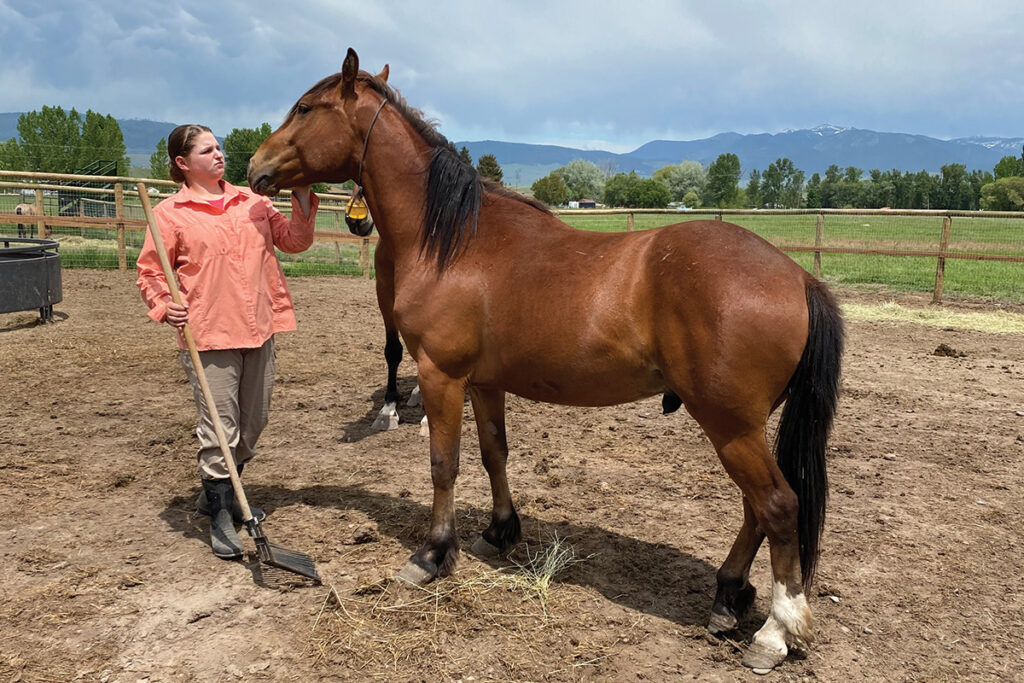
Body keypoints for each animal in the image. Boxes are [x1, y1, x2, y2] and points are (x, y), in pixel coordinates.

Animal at [248, 49, 844, 673]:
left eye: (305, 108)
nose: (253, 165)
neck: (455, 242)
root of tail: (799, 277)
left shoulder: (441, 375)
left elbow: (443, 464)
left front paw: (433, 554)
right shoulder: (484, 382)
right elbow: (493, 454)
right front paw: (499, 532)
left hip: (729, 424)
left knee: (778, 505)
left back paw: (774, 632)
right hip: (742, 426)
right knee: (756, 510)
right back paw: (728, 597)